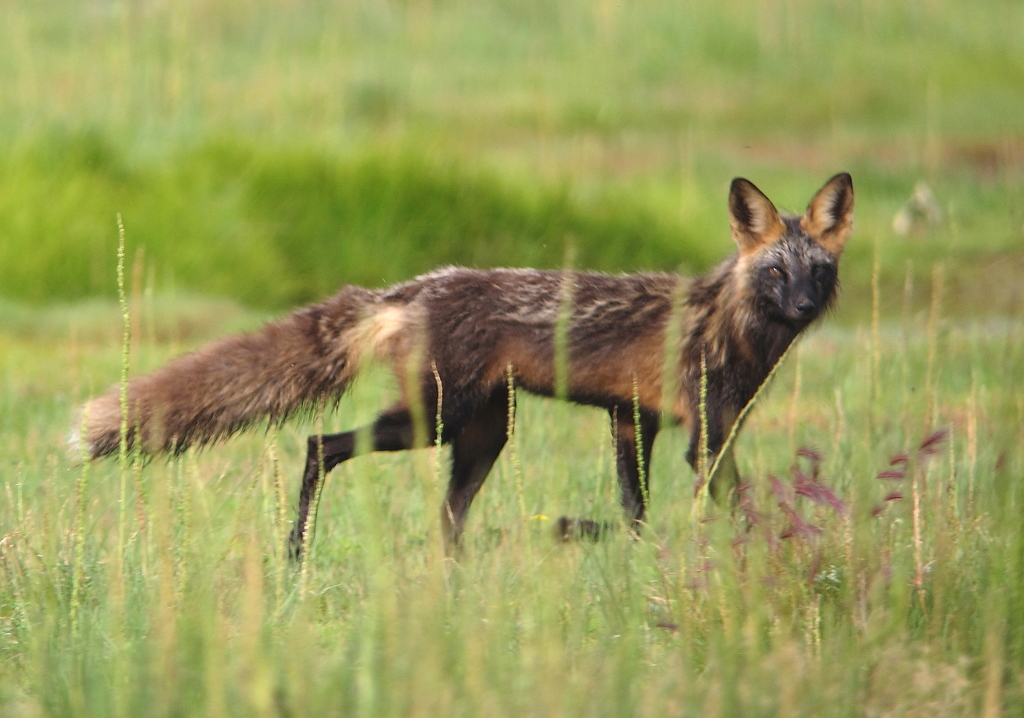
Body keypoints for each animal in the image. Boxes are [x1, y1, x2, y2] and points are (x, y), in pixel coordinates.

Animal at [75, 173, 853, 556]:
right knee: (319, 446)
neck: (729, 322)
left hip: (480, 435)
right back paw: (295, 551)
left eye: (817, 270)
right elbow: (719, 508)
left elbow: (634, 513)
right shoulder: (707, 434)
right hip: (436, 422)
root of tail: (409, 288)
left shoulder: (633, 419)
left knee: (445, 523)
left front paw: (612, 549)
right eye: (776, 271)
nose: (804, 306)